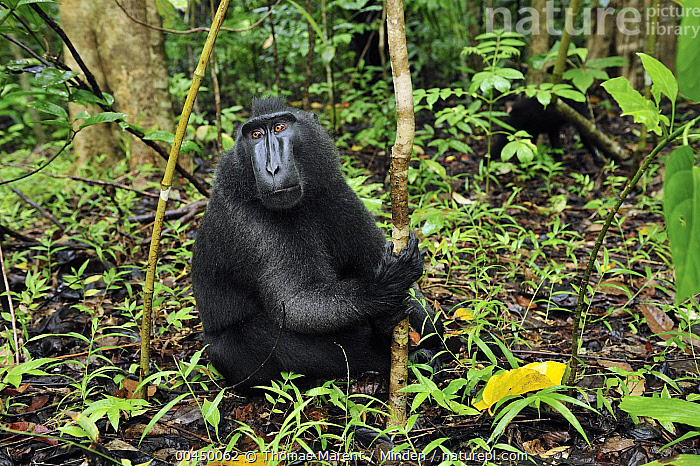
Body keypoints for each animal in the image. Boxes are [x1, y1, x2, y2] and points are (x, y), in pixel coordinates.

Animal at [191, 96, 443, 390]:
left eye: (279, 127)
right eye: (255, 135)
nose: (272, 168)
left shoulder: (337, 192)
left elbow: (373, 259)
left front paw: (431, 330)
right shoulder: (251, 222)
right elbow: (295, 304)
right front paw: (381, 287)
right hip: (223, 351)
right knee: (252, 338)